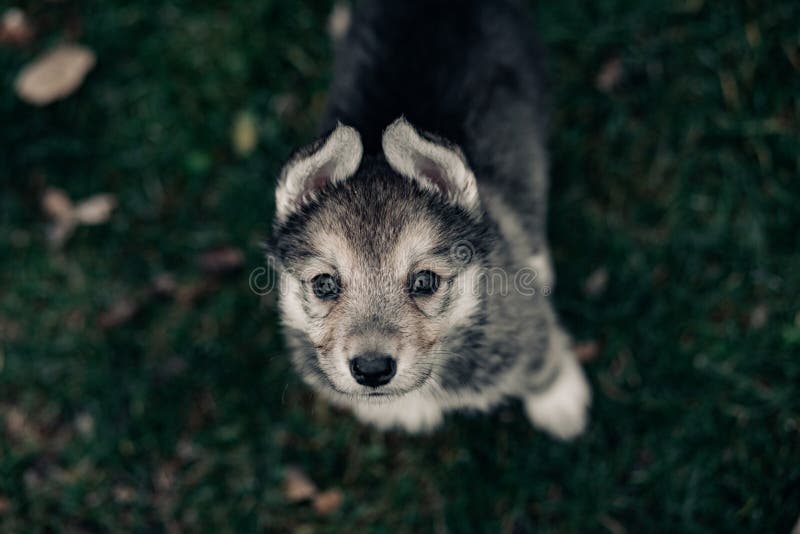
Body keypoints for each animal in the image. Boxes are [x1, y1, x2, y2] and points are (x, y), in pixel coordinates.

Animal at [267, 0, 591, 439]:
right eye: (323, 284)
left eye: (425, 281)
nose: (372, 370)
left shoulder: (525, 332)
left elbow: (542, 362)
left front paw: (559, 402)